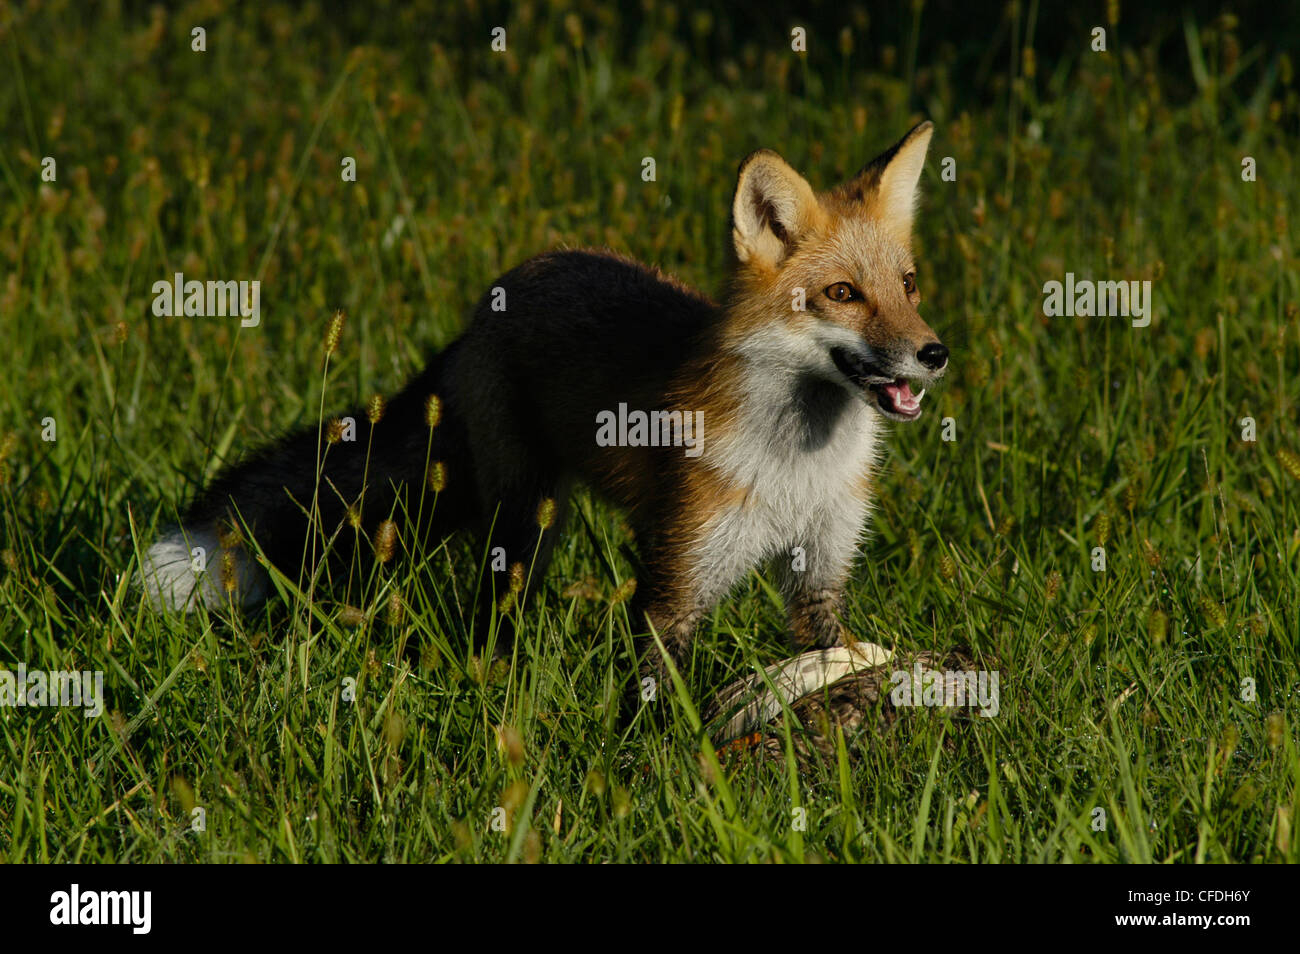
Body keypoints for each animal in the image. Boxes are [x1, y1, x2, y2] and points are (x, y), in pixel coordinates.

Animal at [138, 121, 949, 702]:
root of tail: (492, 298)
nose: (934, 353)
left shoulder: (821, 571)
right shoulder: (678, 576)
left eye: (908, 285)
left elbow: (827, 649)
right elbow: (656, 696)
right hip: (521, 520)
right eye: (844, 294)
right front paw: (665, 775)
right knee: (496, 609)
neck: (795, 469)